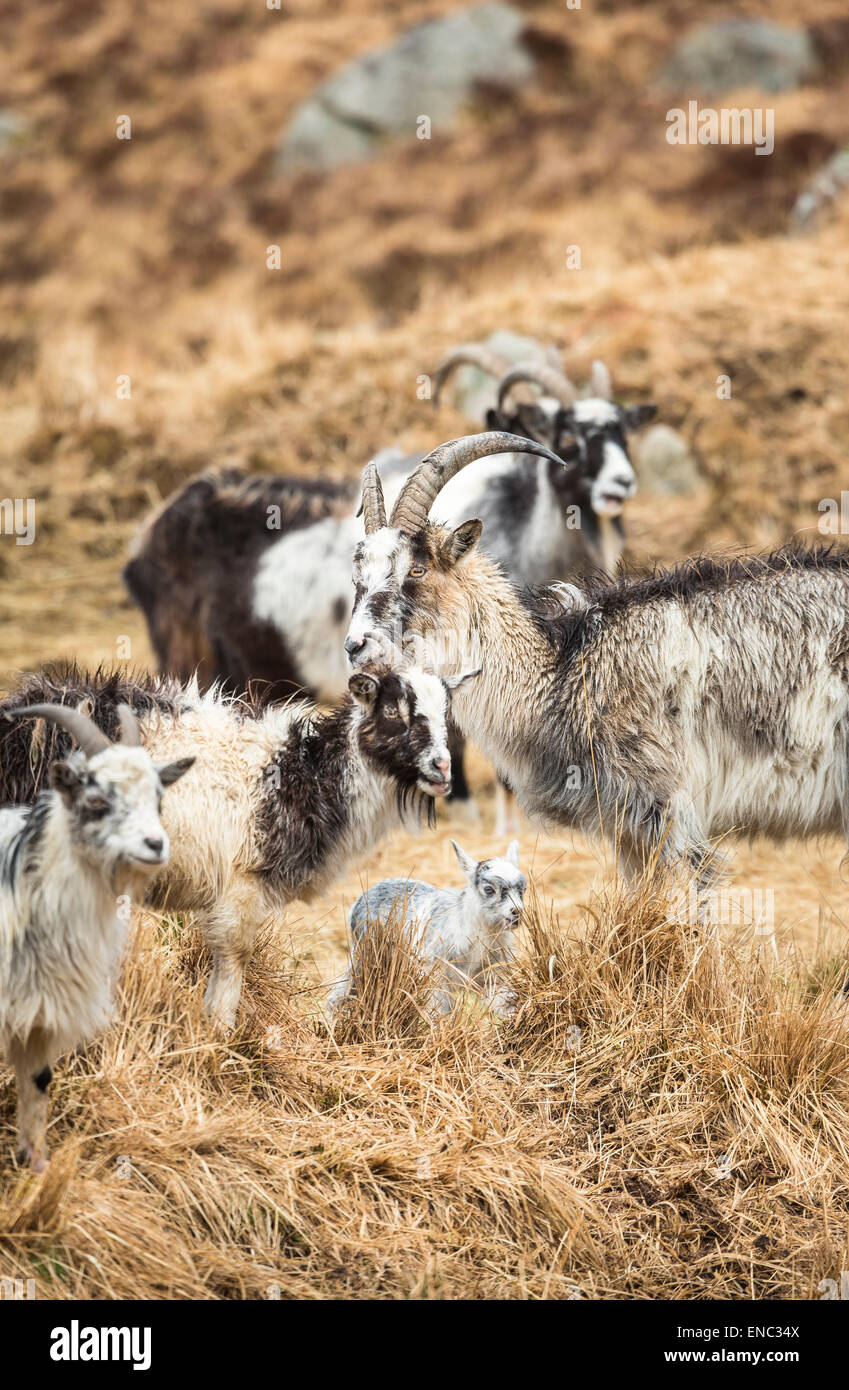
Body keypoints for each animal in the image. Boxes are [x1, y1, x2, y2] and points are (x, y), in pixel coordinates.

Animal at [0, 664, 477, 1032]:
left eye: (446, 713)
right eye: (393, 709)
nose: (442, 768)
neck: (302, 774)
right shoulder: (242, 885)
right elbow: (234, 958)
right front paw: (220, 1036)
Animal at [0, 703, 194, 1169]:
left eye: (158, 800)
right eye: (97, 800)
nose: (155, 844)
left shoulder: (42, 1010)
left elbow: (39, 1080)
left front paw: (37, 1167)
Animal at [328, 838, 526, 1021]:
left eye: (522, 890)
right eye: (489, 889)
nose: (517, 912)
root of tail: (358, 902)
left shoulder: (492, 975)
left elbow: (503, 1001)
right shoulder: (435, 974)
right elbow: (441, 1011)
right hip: (364, 954)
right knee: (339, 993)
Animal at [346, 432, 849, 896]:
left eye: (417, 569)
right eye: (358, 577)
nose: (356, 646)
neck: (563, 672)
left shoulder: (673, 811)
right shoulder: (630, 832)